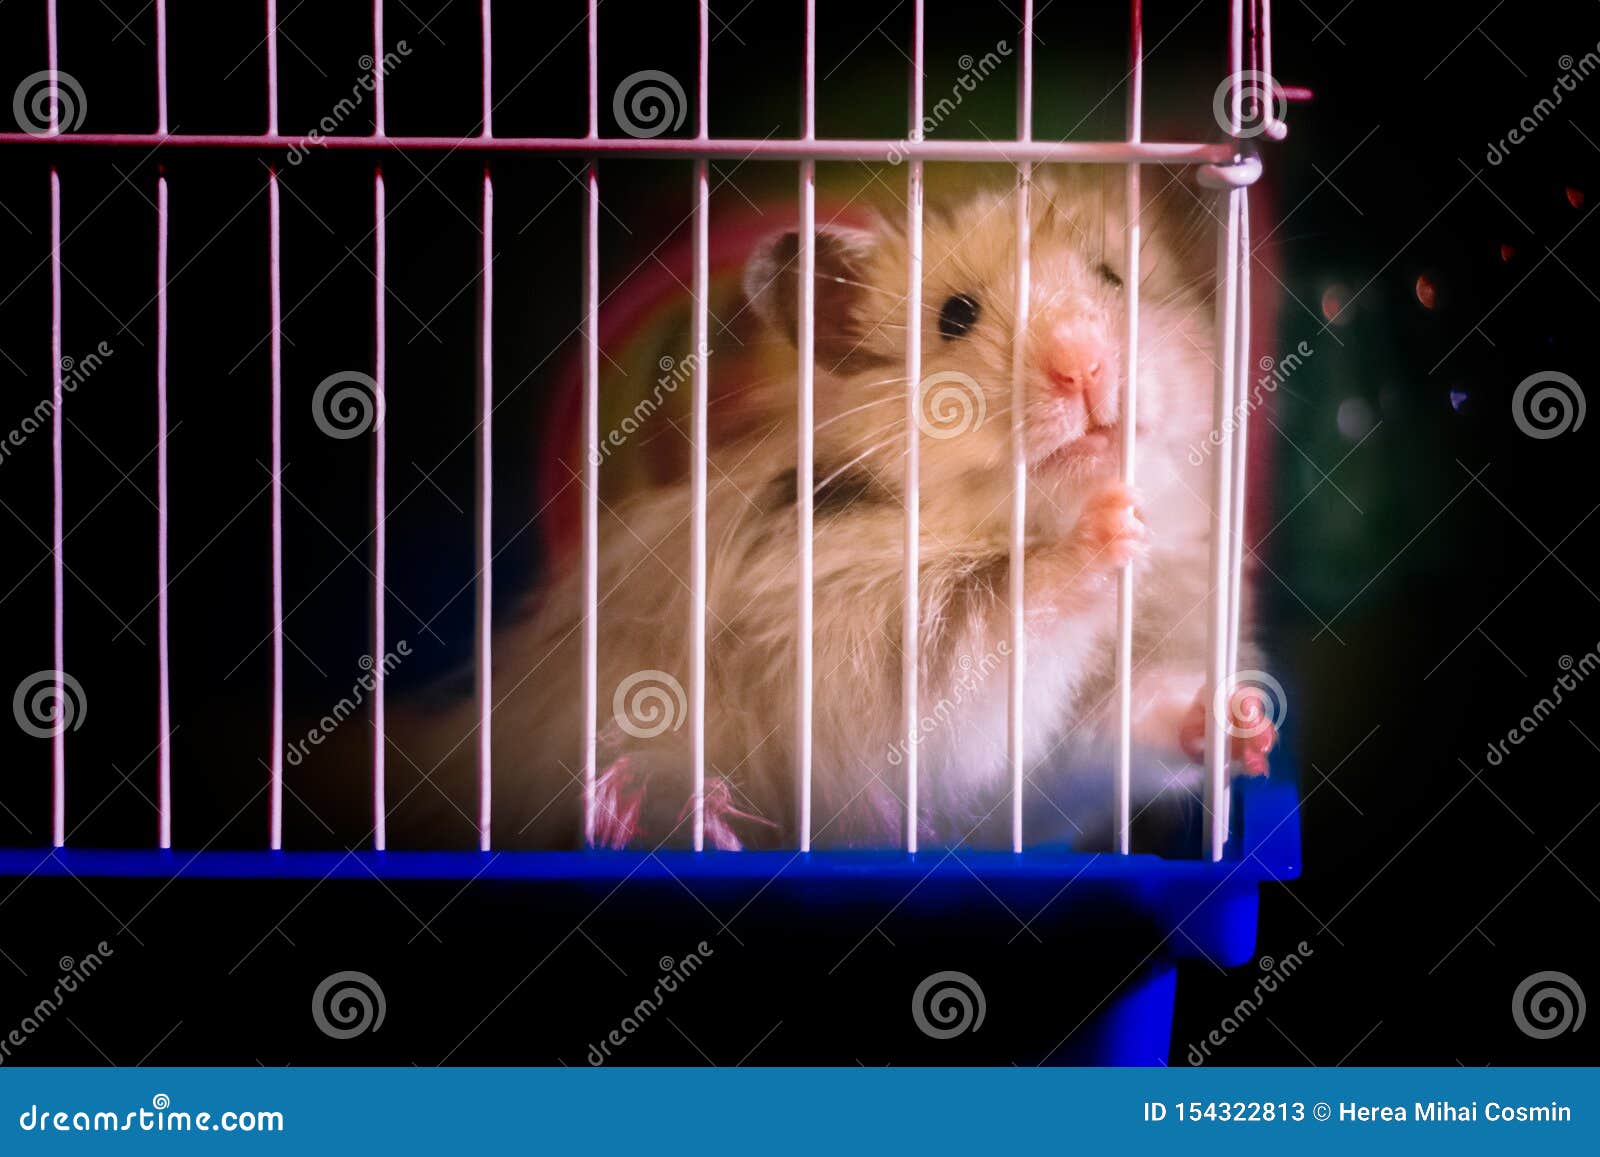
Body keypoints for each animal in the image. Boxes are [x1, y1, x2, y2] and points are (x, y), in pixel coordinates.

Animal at [416, 169, 1275, 851]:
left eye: (1113, 277)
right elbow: (1008, 612)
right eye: (955, 316)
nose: (1083, 365)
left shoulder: (1082, 735)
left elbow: (1133, 717)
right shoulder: (875, 644)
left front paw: (1249, 722)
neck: (1011, 519)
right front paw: (1113, 524)